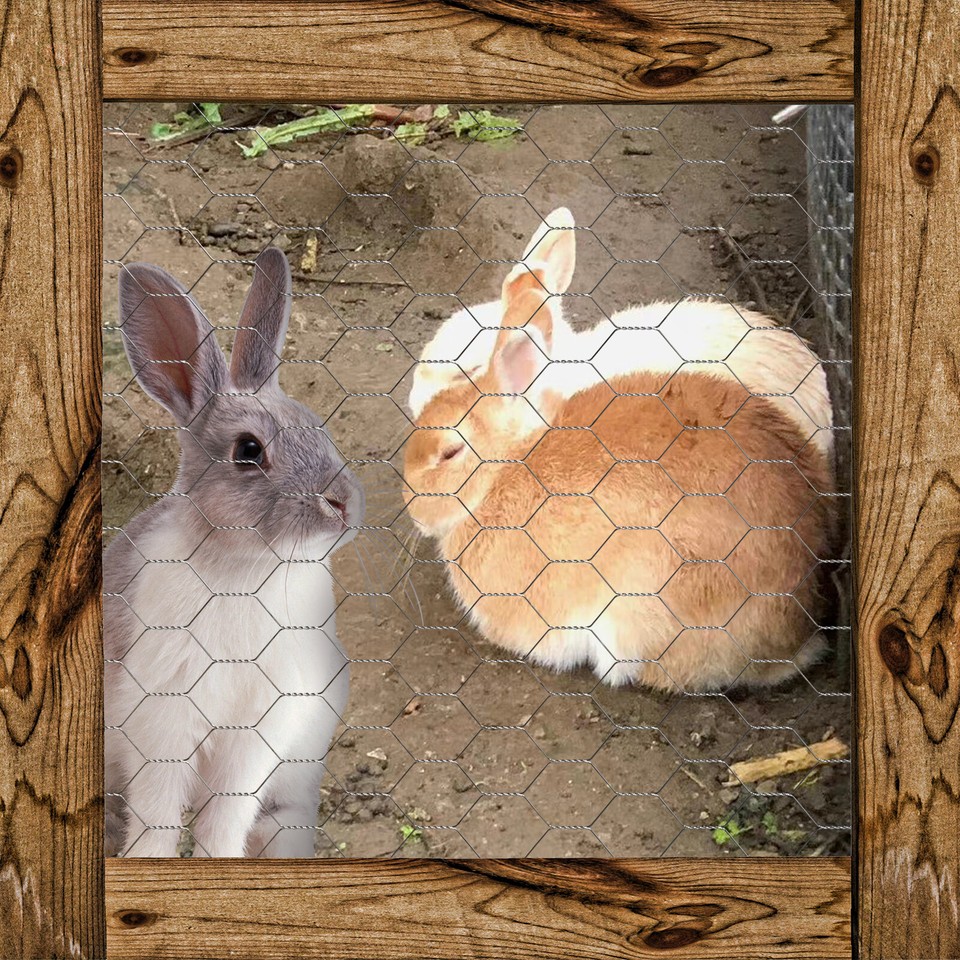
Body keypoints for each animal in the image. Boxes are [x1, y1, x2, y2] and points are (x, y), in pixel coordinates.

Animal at [104, 248, 364, 858]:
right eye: (248, 451)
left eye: (318, 427)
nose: (343, 503)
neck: (248, 570)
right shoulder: (162, 722)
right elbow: (158, 815)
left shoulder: (258, 737)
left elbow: (224, 817)